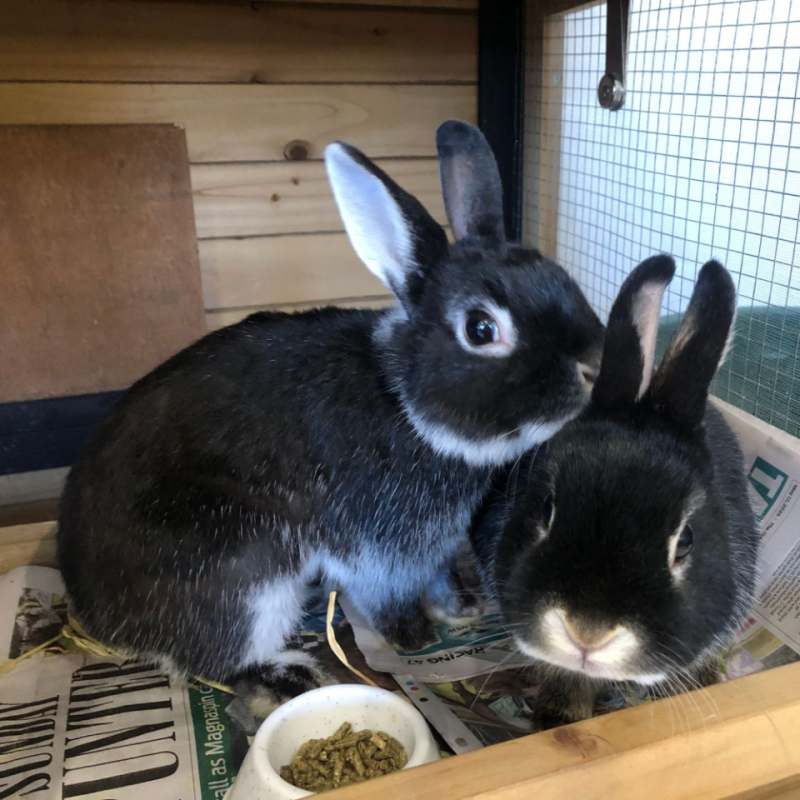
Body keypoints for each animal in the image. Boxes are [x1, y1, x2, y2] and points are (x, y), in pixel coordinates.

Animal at [57, 119, 604, 718]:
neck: (406, 403)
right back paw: (288, 677)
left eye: (560, 276)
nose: (595, 365)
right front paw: (411, 636)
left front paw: (461, 610)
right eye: (481, 329)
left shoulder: (432, 545)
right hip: (242, 570)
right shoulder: (375, 545)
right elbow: (383, 592)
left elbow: (437, 575)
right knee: (215, 657)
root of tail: (96, 616)